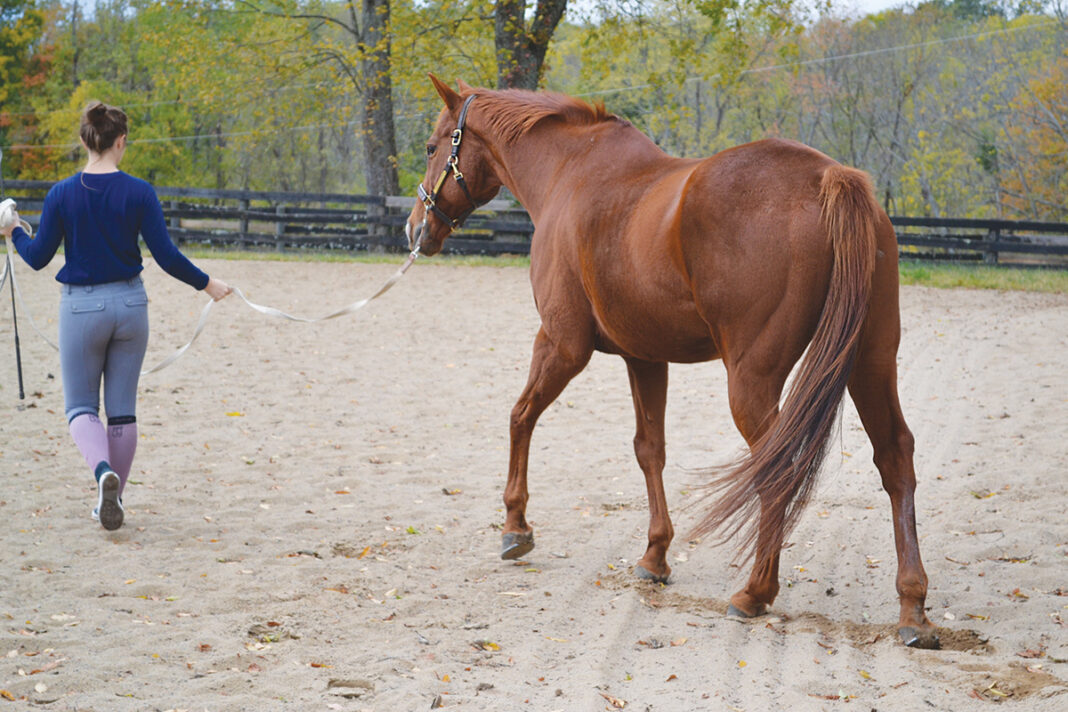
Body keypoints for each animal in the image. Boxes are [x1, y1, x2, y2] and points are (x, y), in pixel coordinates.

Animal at [406, 75, 938, 649]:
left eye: (432, 147)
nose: (415, 230)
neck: (570, 171)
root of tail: (828, 177)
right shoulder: (644, 357)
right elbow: (650, 450)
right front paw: (656, 555)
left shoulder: (560, 344)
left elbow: (520, 416)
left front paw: (515, 527)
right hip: (870, 365)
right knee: (895, 459)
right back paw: (912, 607)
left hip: (752, 382)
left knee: (777, 471)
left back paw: (754, 593)